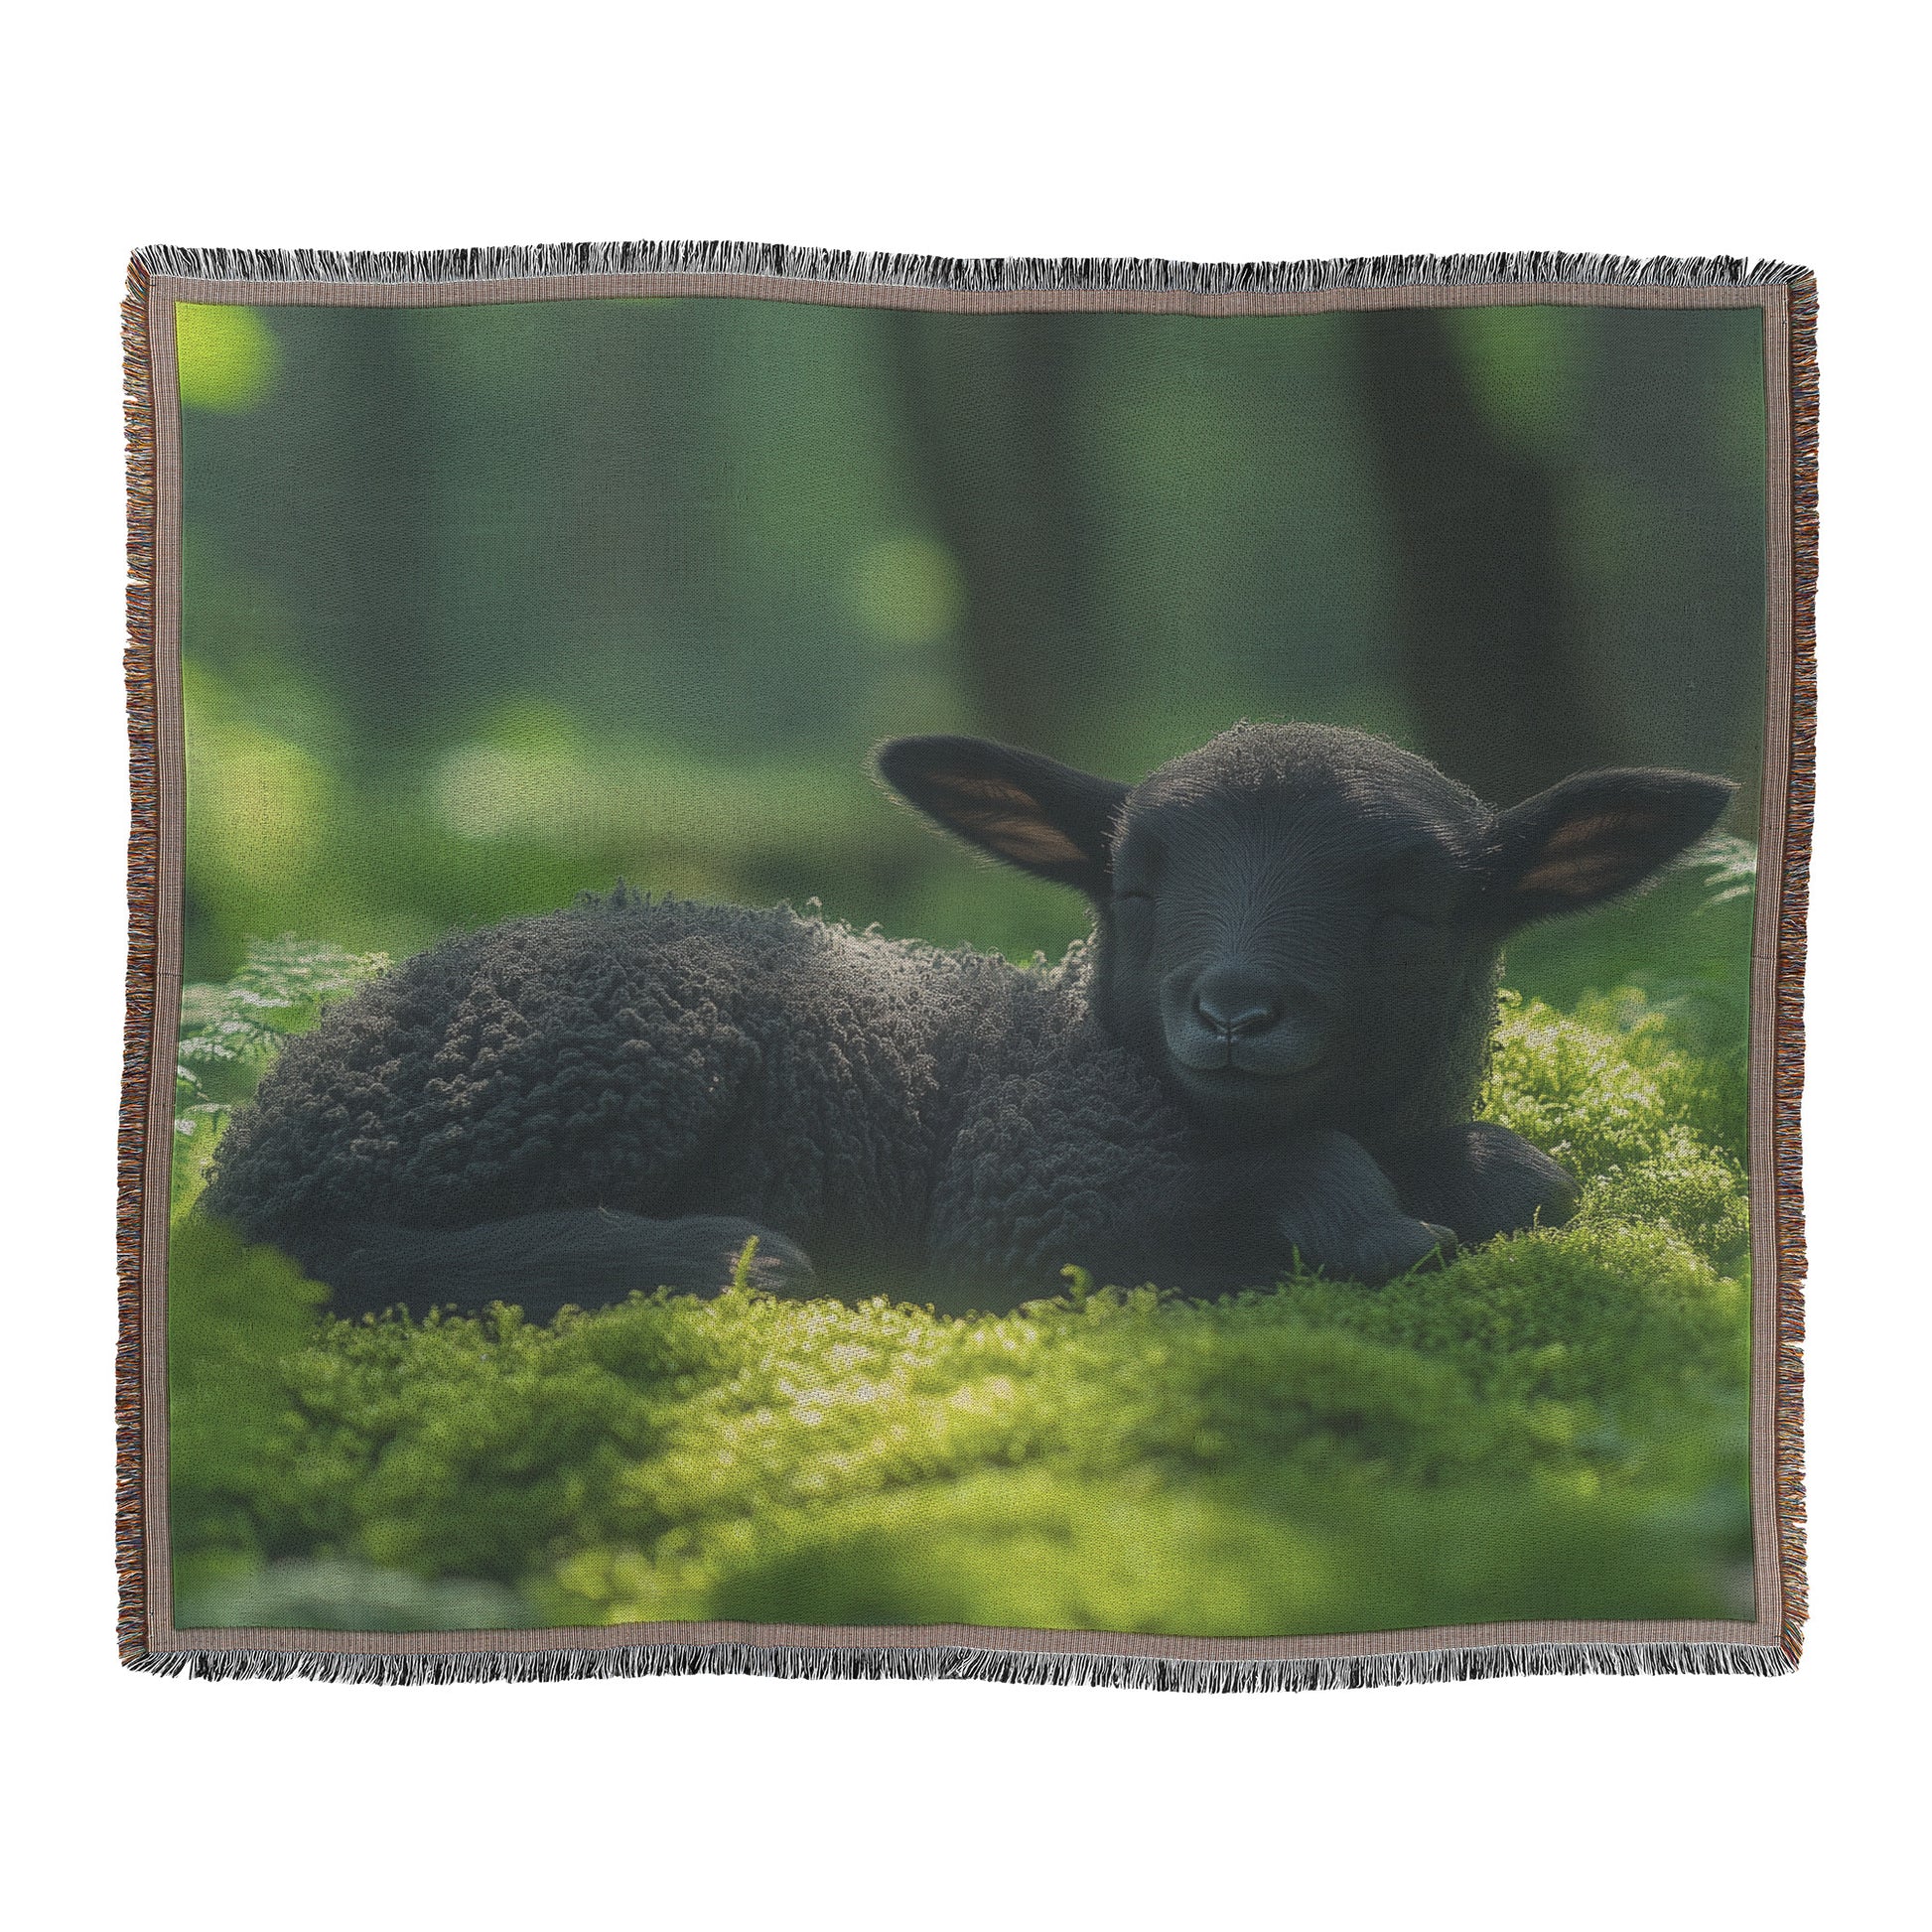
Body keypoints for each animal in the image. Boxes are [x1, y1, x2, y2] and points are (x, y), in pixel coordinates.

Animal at [201, 723, 1732, 1317]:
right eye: (1131, 886)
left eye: (1410, 908)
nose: (1235, 1009)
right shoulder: (1023, 1199)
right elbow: (1329, 1186)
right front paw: (1378, 1228)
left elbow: (1529, 1176)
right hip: (589, 1059)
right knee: (325, 1251)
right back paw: (722, 1256)